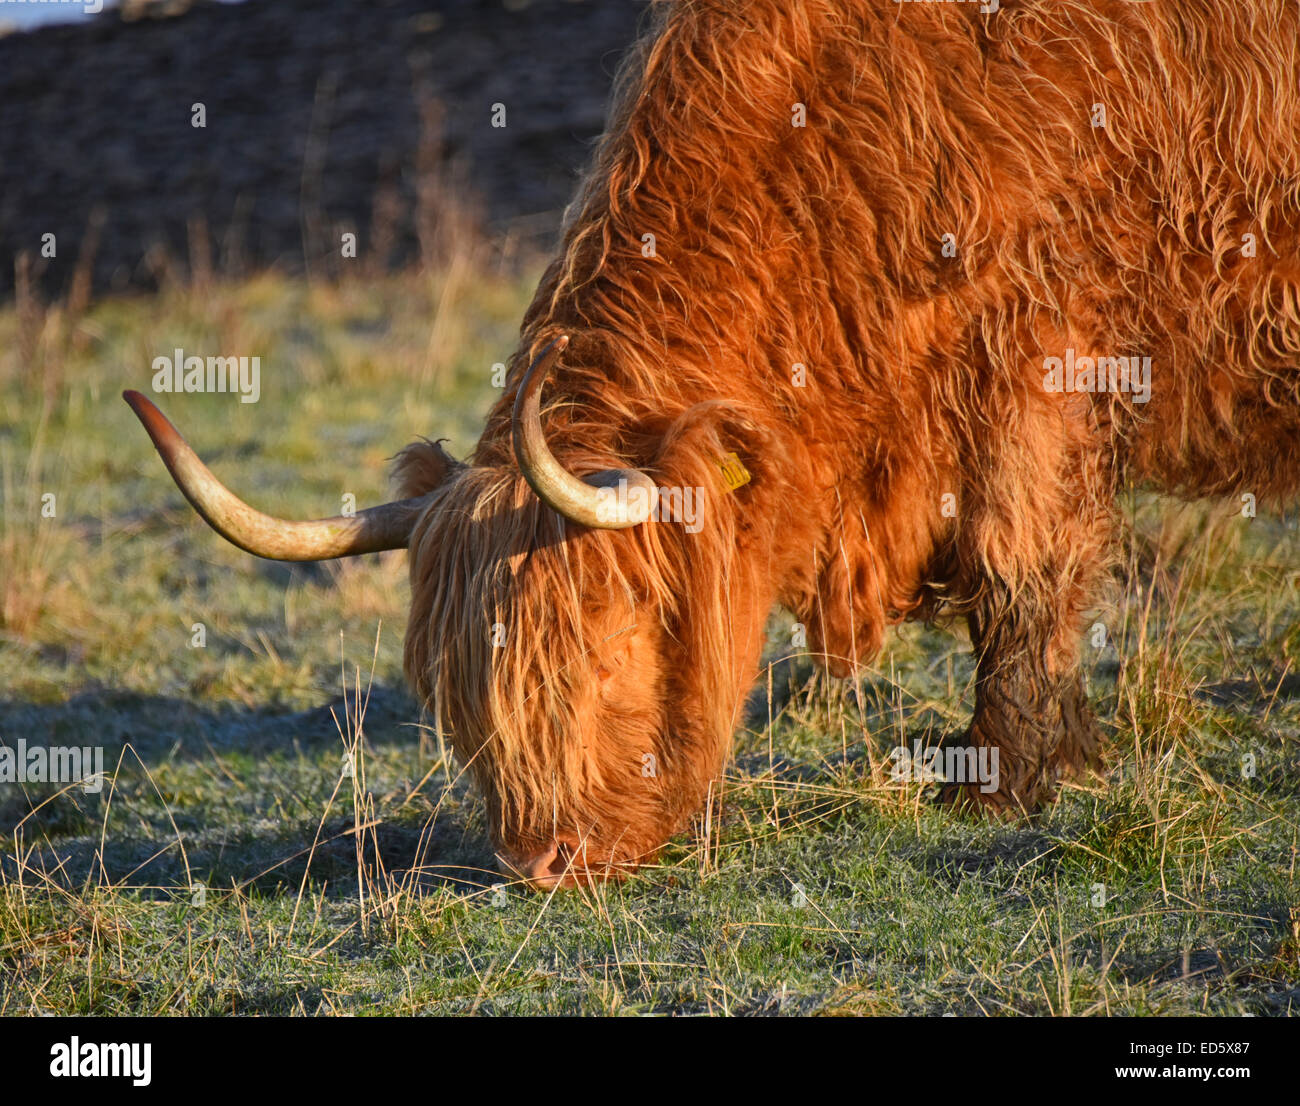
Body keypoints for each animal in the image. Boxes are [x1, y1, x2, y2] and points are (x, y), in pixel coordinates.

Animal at [125, 0, 1300, 888]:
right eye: (447, 688)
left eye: (603, 647)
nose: (540, 862)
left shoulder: (1041, 356)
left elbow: (1022, 566)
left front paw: (1004, 782)